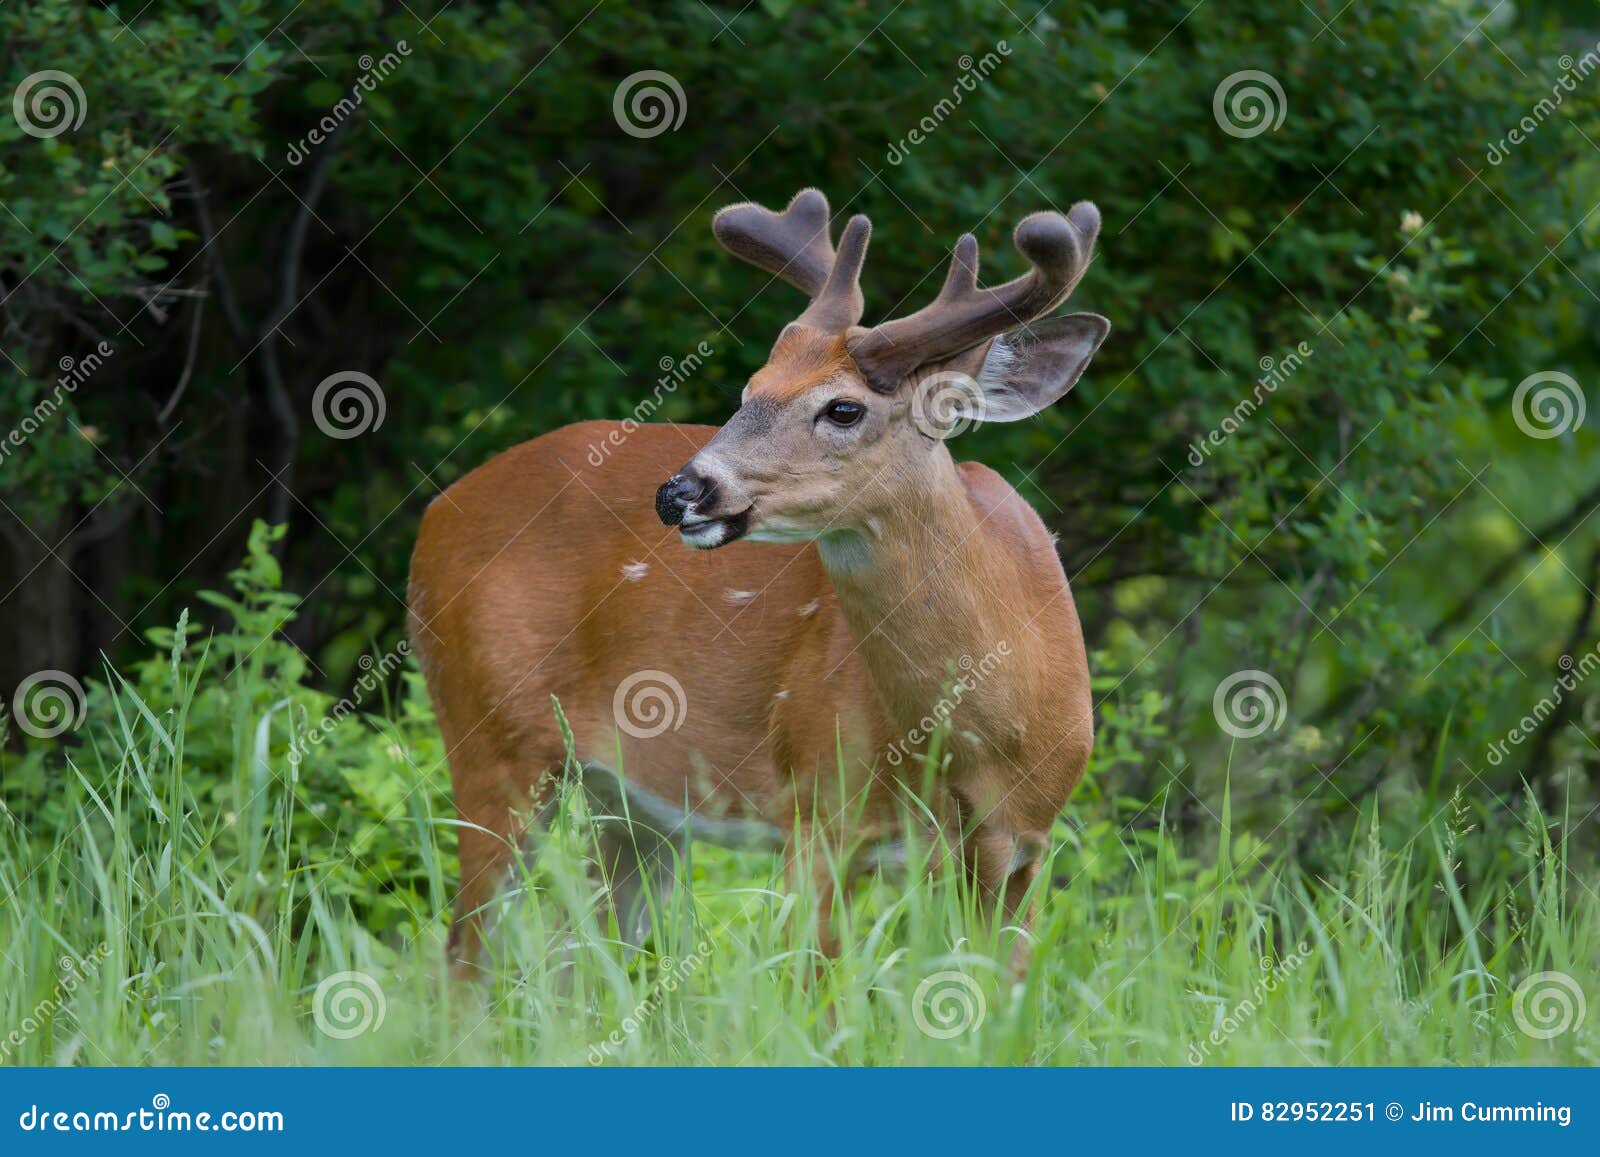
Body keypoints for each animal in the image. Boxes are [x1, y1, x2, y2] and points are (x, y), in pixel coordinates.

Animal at [408, 188, 1108, 977]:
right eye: (749, 390)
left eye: (843, 407)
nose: (680, 492)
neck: (983, 740)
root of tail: (434, 515)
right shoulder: (820, 808)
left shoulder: (1024, 848)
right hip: (491, 734)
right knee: (464, 956)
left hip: (629, 802)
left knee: (577, 954)